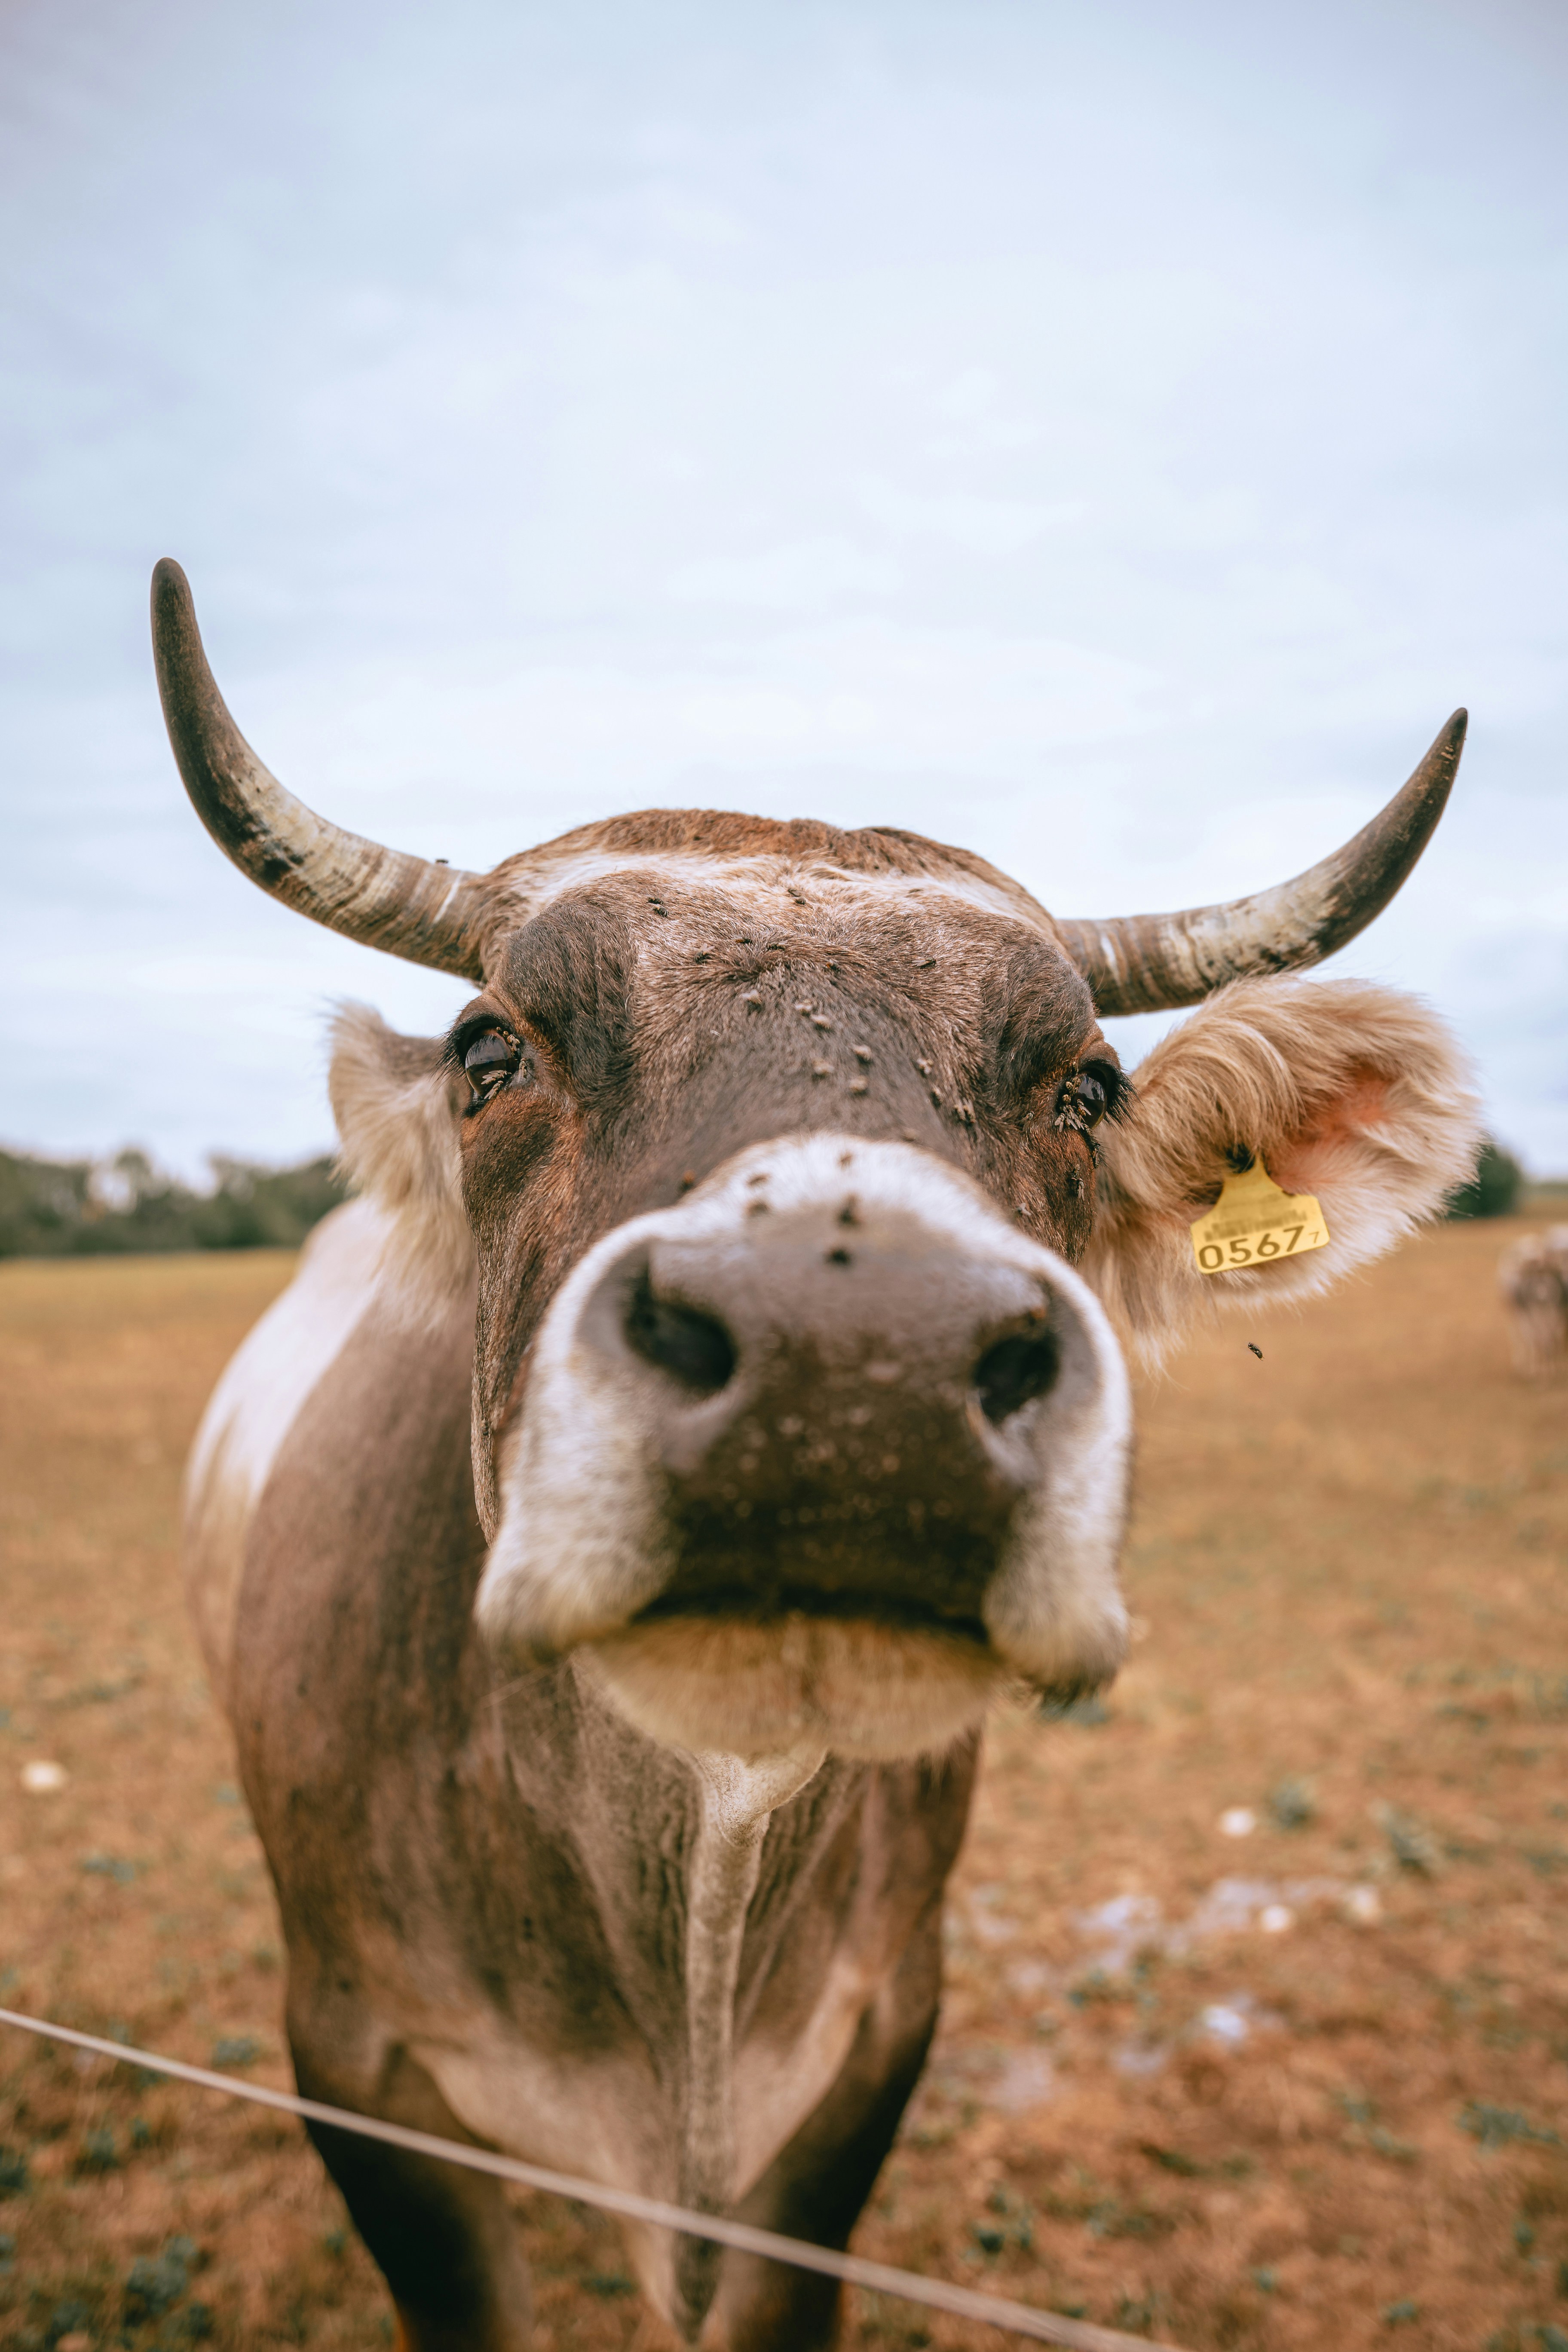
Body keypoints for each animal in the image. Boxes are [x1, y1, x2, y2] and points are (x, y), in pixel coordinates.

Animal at [1498, 1227, 1568, 1377]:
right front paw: (1538, 1371)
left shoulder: (1556, 1317)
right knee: (1519, 1338)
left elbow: (1550, 1338)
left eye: (1550, 1277)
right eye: (1534, 1280)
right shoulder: (1529, 1317)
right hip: (1513, 1313)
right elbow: (1536, 1339)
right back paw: (1522, 1363)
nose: (1543, 1296)